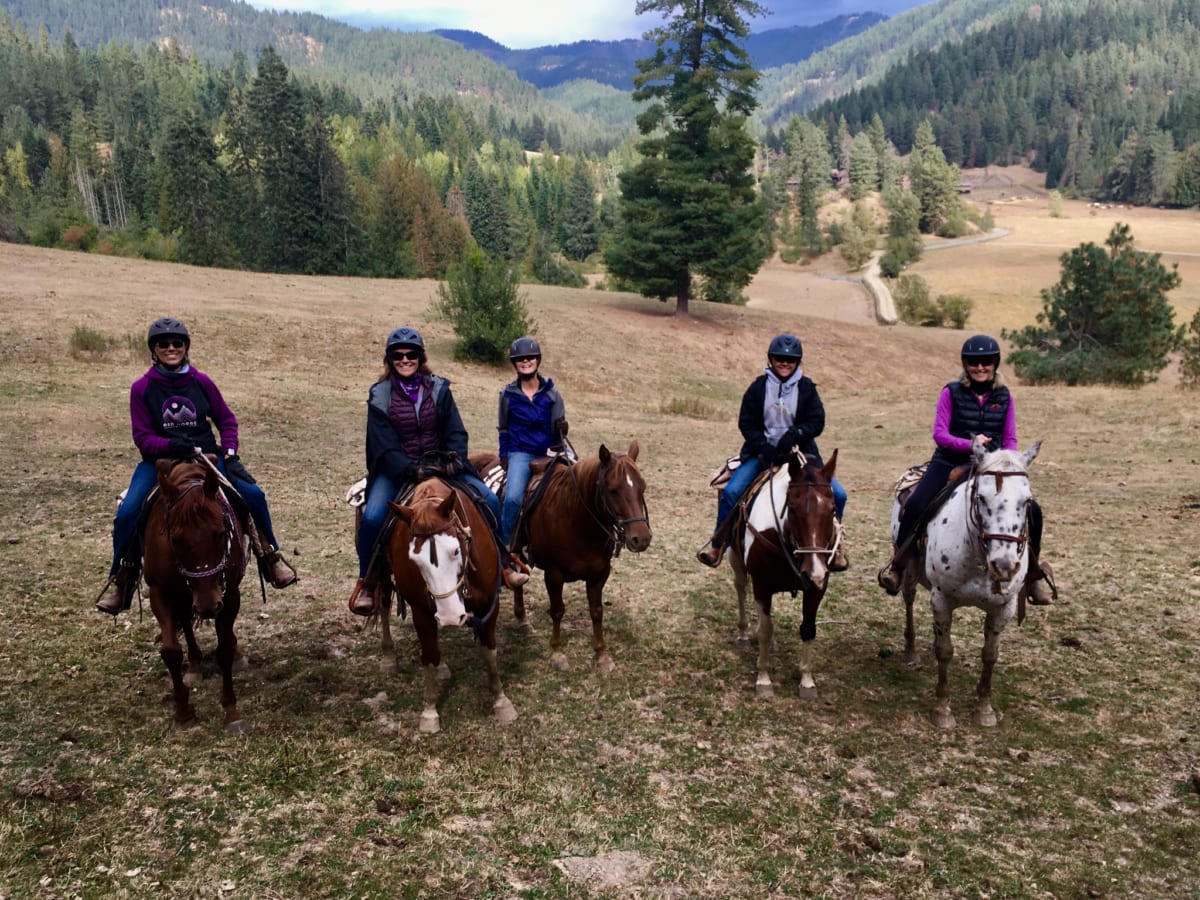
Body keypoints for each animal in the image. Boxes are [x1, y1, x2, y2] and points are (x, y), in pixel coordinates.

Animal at [142, 458, 250, 734]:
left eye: (220, 532)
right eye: (176, 539)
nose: (208, 606)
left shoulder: (230, 594)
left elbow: (224, 648)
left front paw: (232, 712)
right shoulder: (159, 592)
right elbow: (170, 651)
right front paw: (182, 710)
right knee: (186, 623)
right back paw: (194, 665)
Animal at [380, 477, 517, 734]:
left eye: (455, 550)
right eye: (415, 561)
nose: (450, 617)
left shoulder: (489, 604)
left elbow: (489, 651)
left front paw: (501, 701)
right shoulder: (421, 611)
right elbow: (428, 654)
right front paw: (429, 711)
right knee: (383, 605)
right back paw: (388, 655)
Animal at [472, 442, 651, 674]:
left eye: (642, 487)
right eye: (613, 490)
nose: (642, 538)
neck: (575, 519)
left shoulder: (599, 574)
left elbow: (597, 612)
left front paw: (601, 654)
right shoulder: (554, 574)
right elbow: (557, 611)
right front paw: (557, 653)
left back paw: (523, 620)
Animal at [729, 450, 841, 699]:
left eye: (832, 509)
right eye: (793, 508)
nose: (814, 571)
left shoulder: (817, 588)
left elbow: (808, 629)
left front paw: (807, 681)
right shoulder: (762, 584)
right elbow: (764, 630)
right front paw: (763, 679)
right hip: (736, 559)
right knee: (741, 588)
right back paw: (742, 634)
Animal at [889, 436, 1041, 728]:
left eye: (1027, 501)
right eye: (981, 498)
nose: (1004, 566)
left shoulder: (1004, 608)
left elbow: (990, 654)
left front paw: (984, 708)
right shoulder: (942, 599)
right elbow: (945, 651)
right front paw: (943, 710)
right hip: (909, 572)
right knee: (909, 599)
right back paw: (910, 650)